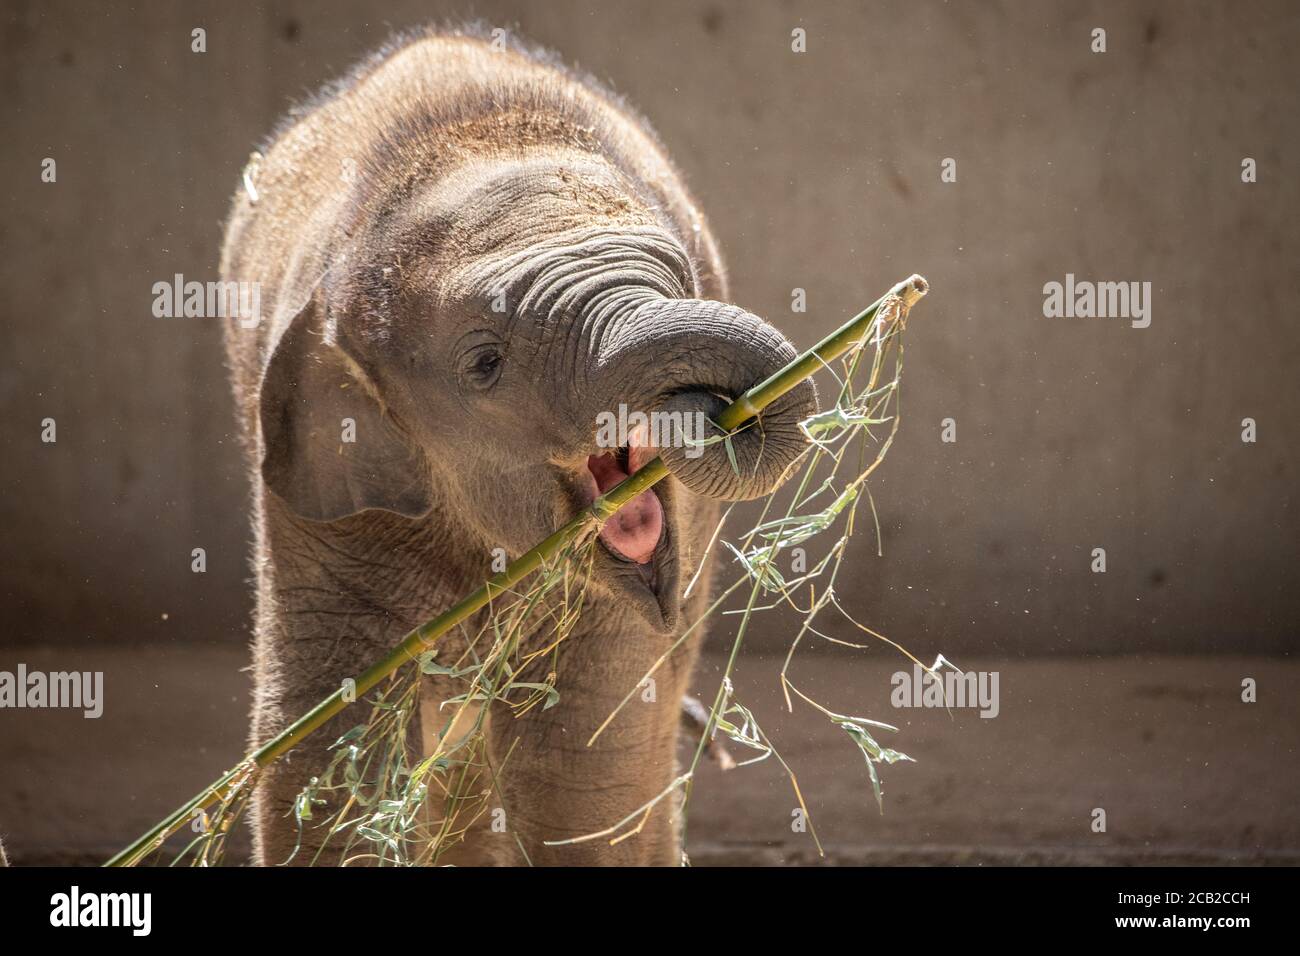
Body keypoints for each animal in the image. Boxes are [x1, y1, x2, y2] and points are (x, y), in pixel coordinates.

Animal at [220, 25, 816, 866]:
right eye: (485, 365)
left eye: (684, 283)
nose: (713, 405)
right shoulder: (318, 497)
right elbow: (324, 746)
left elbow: (578, 755)